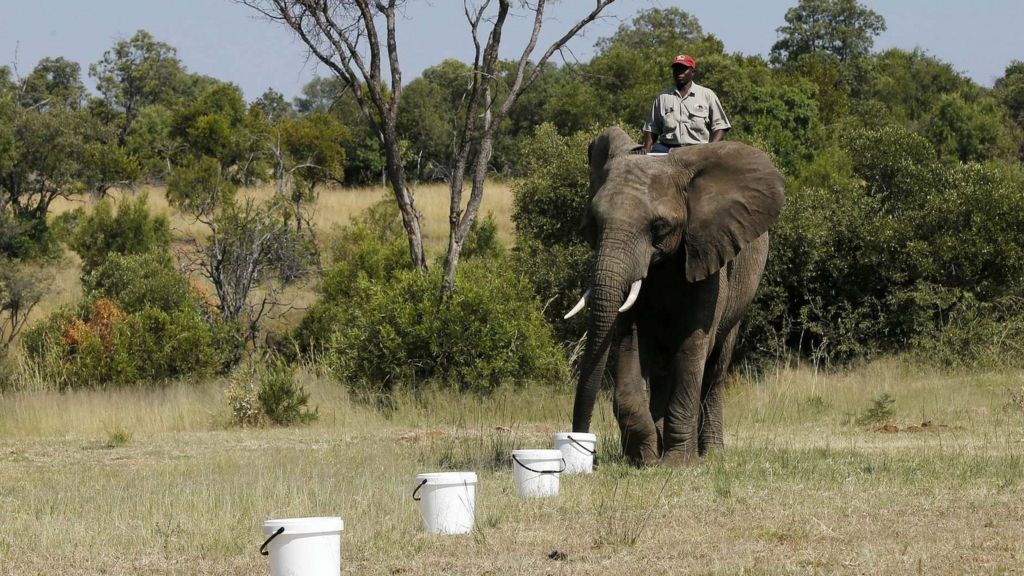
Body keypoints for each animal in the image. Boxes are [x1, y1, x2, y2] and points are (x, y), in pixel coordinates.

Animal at [566, 126, 784, 465]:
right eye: (594, 223)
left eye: (659, 226)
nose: (582, 445)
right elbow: (630, 342)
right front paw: (644, 457)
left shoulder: (708, 256)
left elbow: (693, 344)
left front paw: (677, 462)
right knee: (660, 371)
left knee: (715, 370)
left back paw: (710, 454)